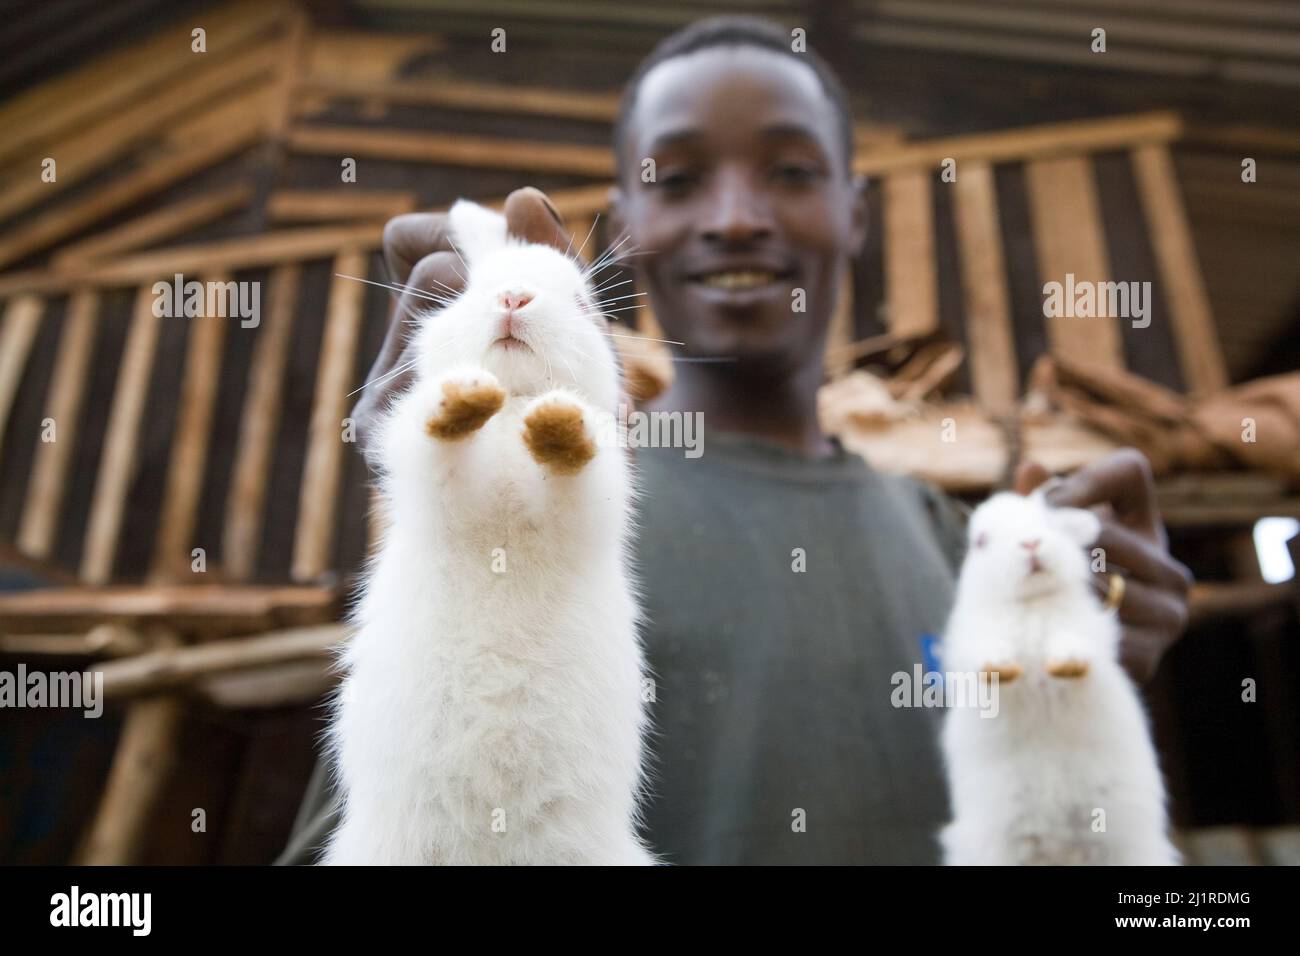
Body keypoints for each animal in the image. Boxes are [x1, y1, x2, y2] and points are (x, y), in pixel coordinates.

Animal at [323, 200, 654, 865]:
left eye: (582, 303)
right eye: (467, 292)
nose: (514, 297)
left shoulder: (591, 491)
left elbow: (572, 470)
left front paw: (558, 424)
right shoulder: (431, 476)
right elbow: (441, 449)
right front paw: (461, 402)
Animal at [939, 489, 1179, 866]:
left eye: (1048, 525)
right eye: (980, 541)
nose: (1031, 542)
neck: (1032, 603)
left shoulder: (1085, 628)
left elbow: (1073, 643)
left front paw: (1067, 666)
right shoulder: (972, 638)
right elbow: (987, 652)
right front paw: (1000, 670)